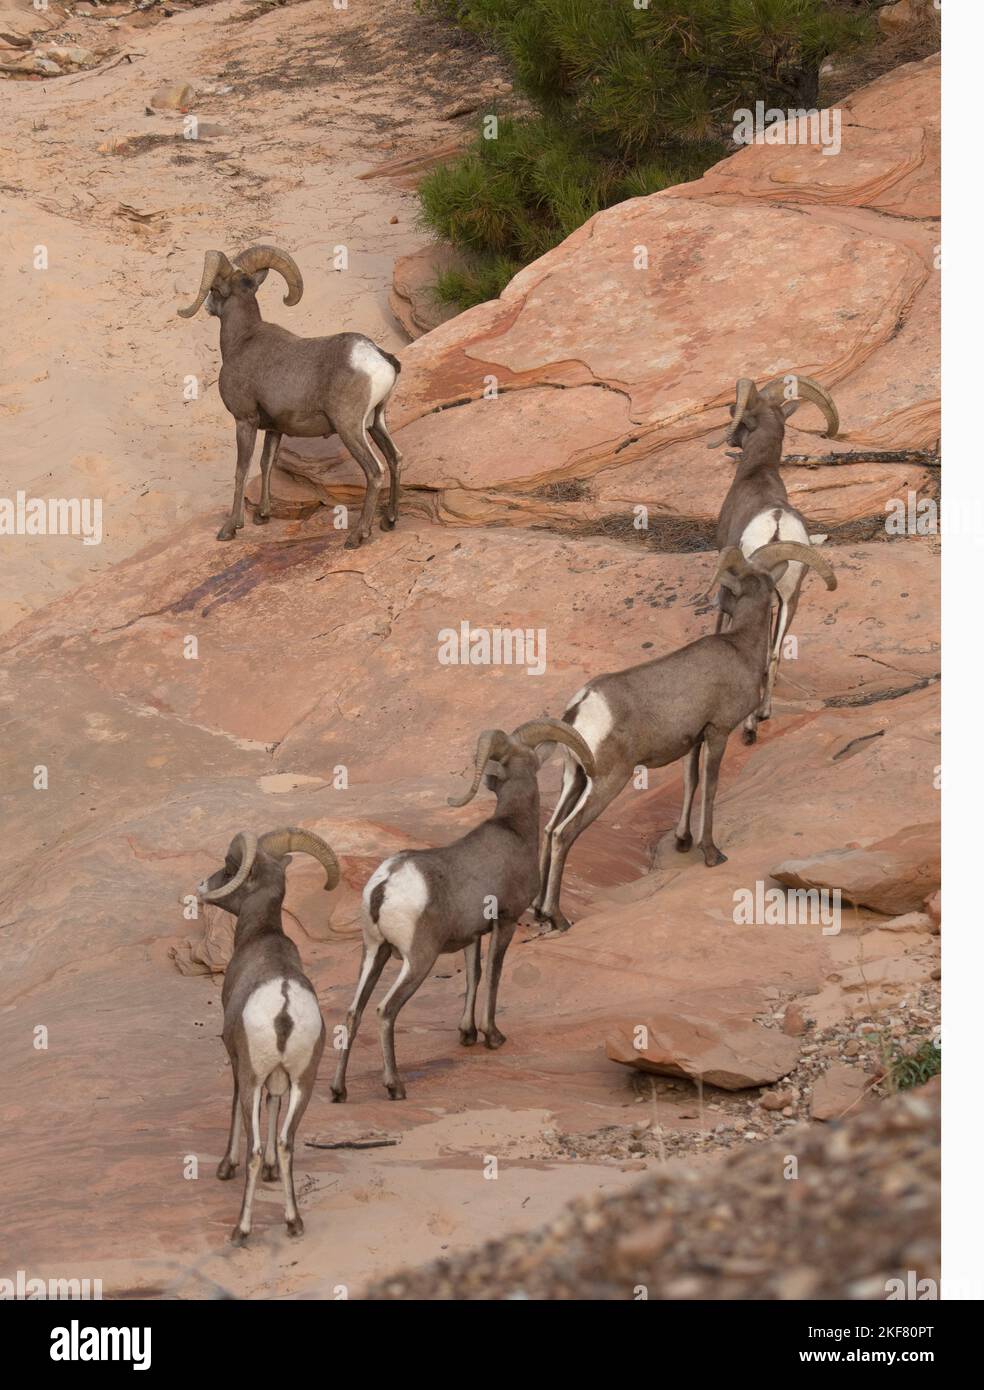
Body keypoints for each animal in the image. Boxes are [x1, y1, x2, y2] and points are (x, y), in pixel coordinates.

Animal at [178, 245, 402, 548]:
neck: (241, 342)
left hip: (350, 428)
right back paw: (389, 521)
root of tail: (378, 358)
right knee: (394, 459)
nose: (208, 307)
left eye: (214, 288)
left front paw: (230, 529)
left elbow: (241, 470)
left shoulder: (244, 421)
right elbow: (266, 463)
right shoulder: (275, 428)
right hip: (376, 422)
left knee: (375, 470)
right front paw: (262, 516)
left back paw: (357, 536)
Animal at [197, 825, 339, 1244]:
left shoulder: (239, 1065)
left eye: (230, 868)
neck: (262, 936)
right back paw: (293, 1221)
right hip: (304, 1082)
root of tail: (284, 1007)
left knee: (257, 1149)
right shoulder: (281, 1079)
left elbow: (234, 1110)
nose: (202, 885)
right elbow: (275, 1110)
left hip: (253, 1078)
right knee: (286, 1141)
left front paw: (224, 1167)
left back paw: (241, 1230)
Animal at [329, 719, 595, 1102]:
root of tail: (385, 885)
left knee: (353, 1013)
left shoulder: (472, 936)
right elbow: (495, 975)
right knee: (384, 1011)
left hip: (373, 952)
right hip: (418, 960)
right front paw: (493, 1036)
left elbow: (474, 976)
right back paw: (395, 1086)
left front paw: (467, 1034)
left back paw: (339, 1090)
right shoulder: (506, 922)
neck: (514, 830)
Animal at [532, 542, 837, 936]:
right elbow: (710, 787)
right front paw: (711, 853)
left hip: (574, 777)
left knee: (548, 828)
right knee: (563, 834)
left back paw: (538, 911)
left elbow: (690, 783)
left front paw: (683, 841)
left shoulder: (694, 740)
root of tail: (581, 706)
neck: (740, 648)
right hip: (608, 781)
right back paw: (558, 917)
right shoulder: (719, 732)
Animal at [709, 374, 839, 743]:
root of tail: (778, 527)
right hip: (789, 599)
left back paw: (750, 726)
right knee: (774, 652)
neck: (757, 474)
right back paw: (765, 713)